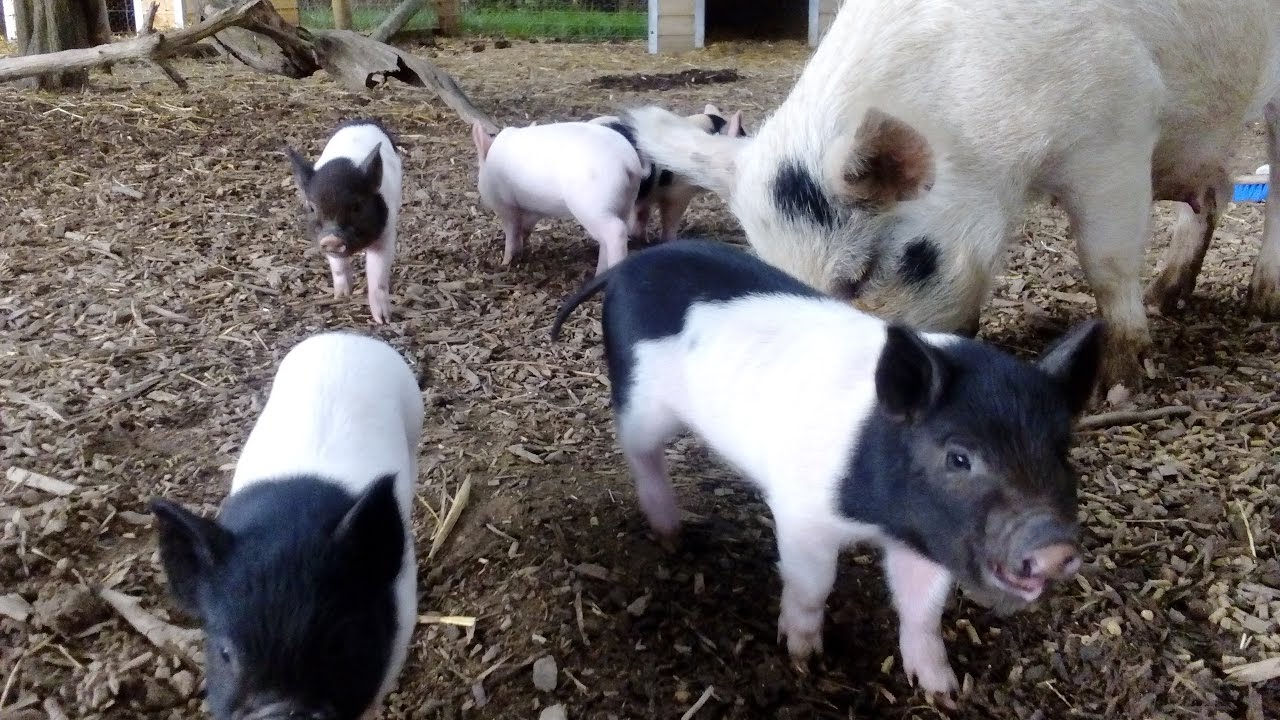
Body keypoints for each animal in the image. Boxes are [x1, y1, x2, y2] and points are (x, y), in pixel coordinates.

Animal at [287, 119, 404, 325]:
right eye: (312, 208)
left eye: (357, 206)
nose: (332, 239)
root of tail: (361, 119)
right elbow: (338, 267)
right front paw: (340, 297)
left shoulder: (386, 234)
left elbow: (377, 275)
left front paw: (383, 320)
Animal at [470, 120, 645, 276]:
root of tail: (628, 163)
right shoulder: (533, 209)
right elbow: (525, 227)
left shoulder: (506, 205)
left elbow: (511, 230)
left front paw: (505, 262)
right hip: (625, 202)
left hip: (592, 205)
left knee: (616, 231)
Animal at [549, 240, 1102, 705]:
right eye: (959, 457)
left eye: (1062, 449)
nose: (1055, 549)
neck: (881, 518)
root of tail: (629, 266)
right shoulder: (802, 514)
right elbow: (813, 585)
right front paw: (802, 659)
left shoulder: (928, 538)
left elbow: (922, 608)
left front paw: (942, 692)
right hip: (639, 399)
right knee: (641, 454)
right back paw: (672, 536)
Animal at [589, 104, 746, 243]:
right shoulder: (678, 192)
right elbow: (671, 219)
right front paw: (670, 240)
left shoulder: (647, 195)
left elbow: (642, 214)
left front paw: (642, 240)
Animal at [620, 0, 1280, 392]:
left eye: (859, 278)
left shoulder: (1118, 128)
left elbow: (1106, 263)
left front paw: (1116, 387)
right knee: (1216, 191)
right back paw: (1171, 295)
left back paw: (1262, 304)